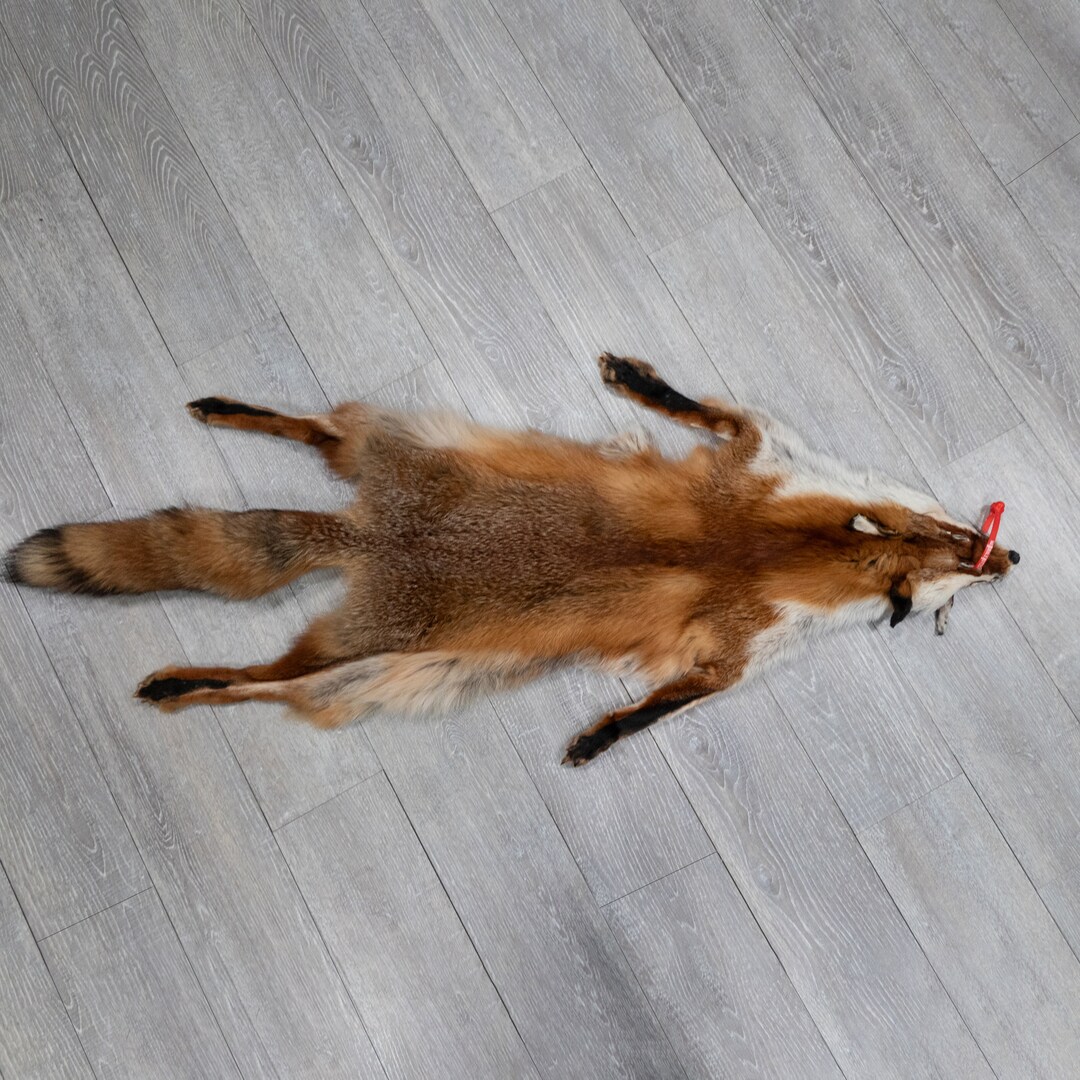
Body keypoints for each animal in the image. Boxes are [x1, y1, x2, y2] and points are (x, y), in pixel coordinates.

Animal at [5, 355, 1019, 766]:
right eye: (961, 556)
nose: (1012, 554)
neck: (792, 548)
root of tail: (366, 540)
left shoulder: (755, 471)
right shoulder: (737, 635)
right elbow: (657, 712)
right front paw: (600, 739)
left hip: (388, 468)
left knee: (320, 433)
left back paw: (228, 410)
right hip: (376, 665)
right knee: (261, 682)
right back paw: (184, 685)